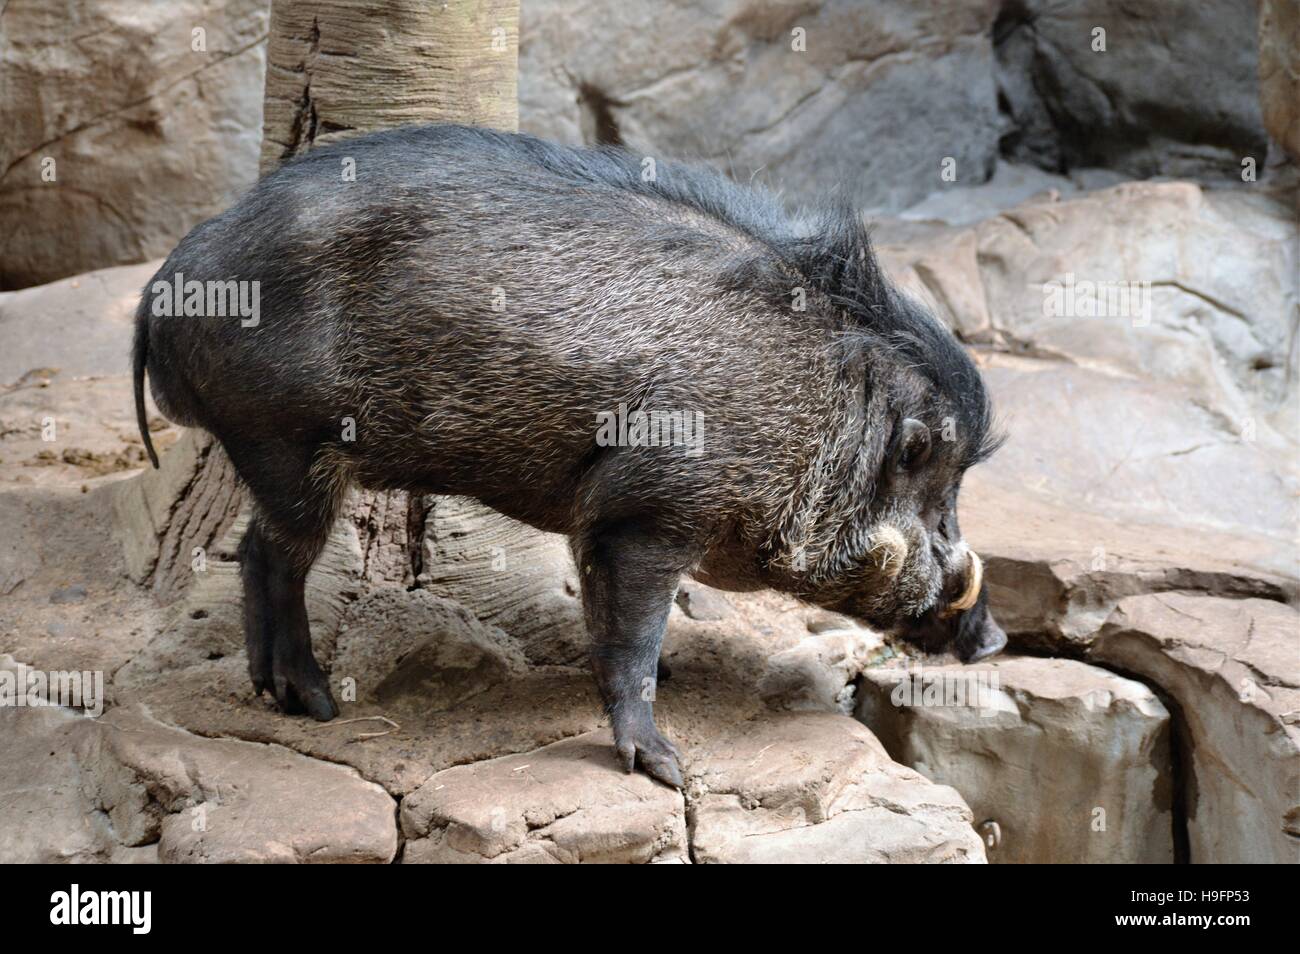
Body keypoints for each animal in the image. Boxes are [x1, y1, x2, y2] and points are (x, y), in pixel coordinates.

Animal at [132, 124, 1006, 788]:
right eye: (931, 485)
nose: (993, 640)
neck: (817, 414)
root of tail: (167, 280)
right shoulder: (652, 513)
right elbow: (634, 638)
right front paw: (665, 768)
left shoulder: (602, 518)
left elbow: (605, 619)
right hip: (282, 444)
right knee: (276, 556)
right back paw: (317, 704)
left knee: (255, 551)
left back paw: (279, 695)